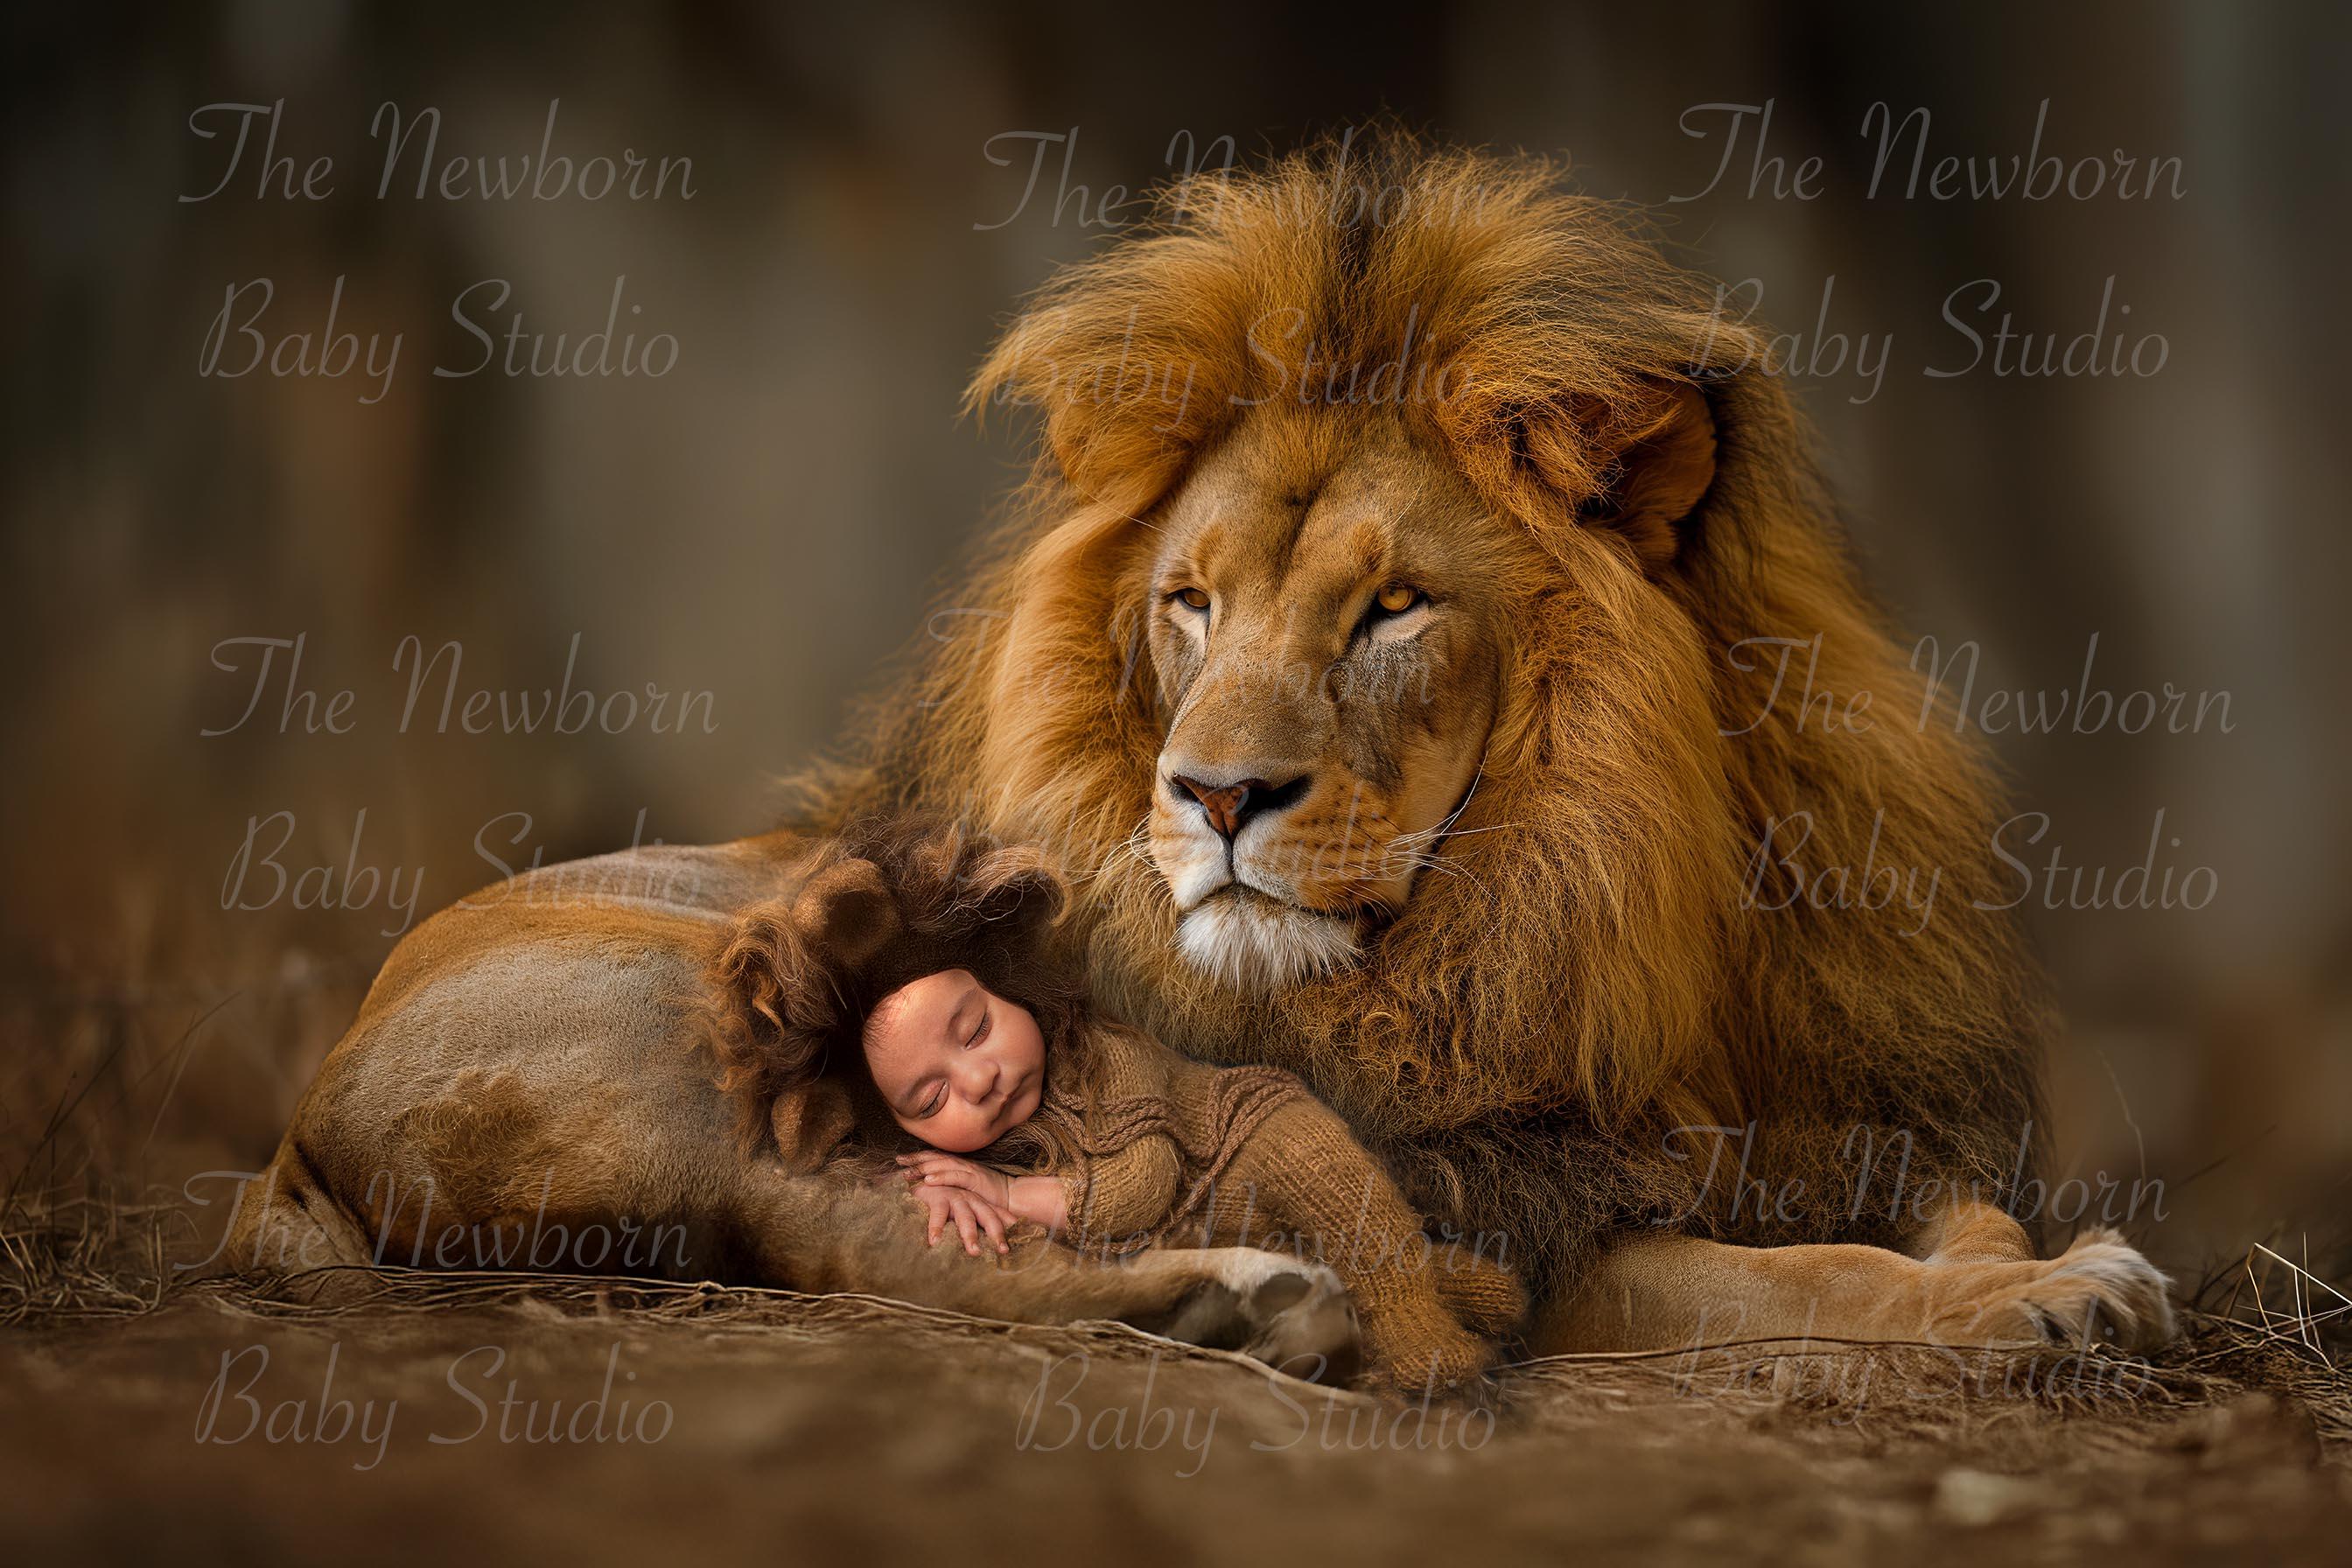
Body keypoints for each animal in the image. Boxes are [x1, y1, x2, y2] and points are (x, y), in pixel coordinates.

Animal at [222, 131, 2171, 1363]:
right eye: (1191, 603)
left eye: (1393, 607)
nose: (1216, 796)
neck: (1607, 925)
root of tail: (296, 1128)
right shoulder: (1535, 1218)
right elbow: (1785, 1279)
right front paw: (2023, 1305)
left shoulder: (1823, 1117)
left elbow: (1926, 1207)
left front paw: (2044, 1259)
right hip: (692, 1023)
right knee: (854, 1242)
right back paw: (1252, 1298)